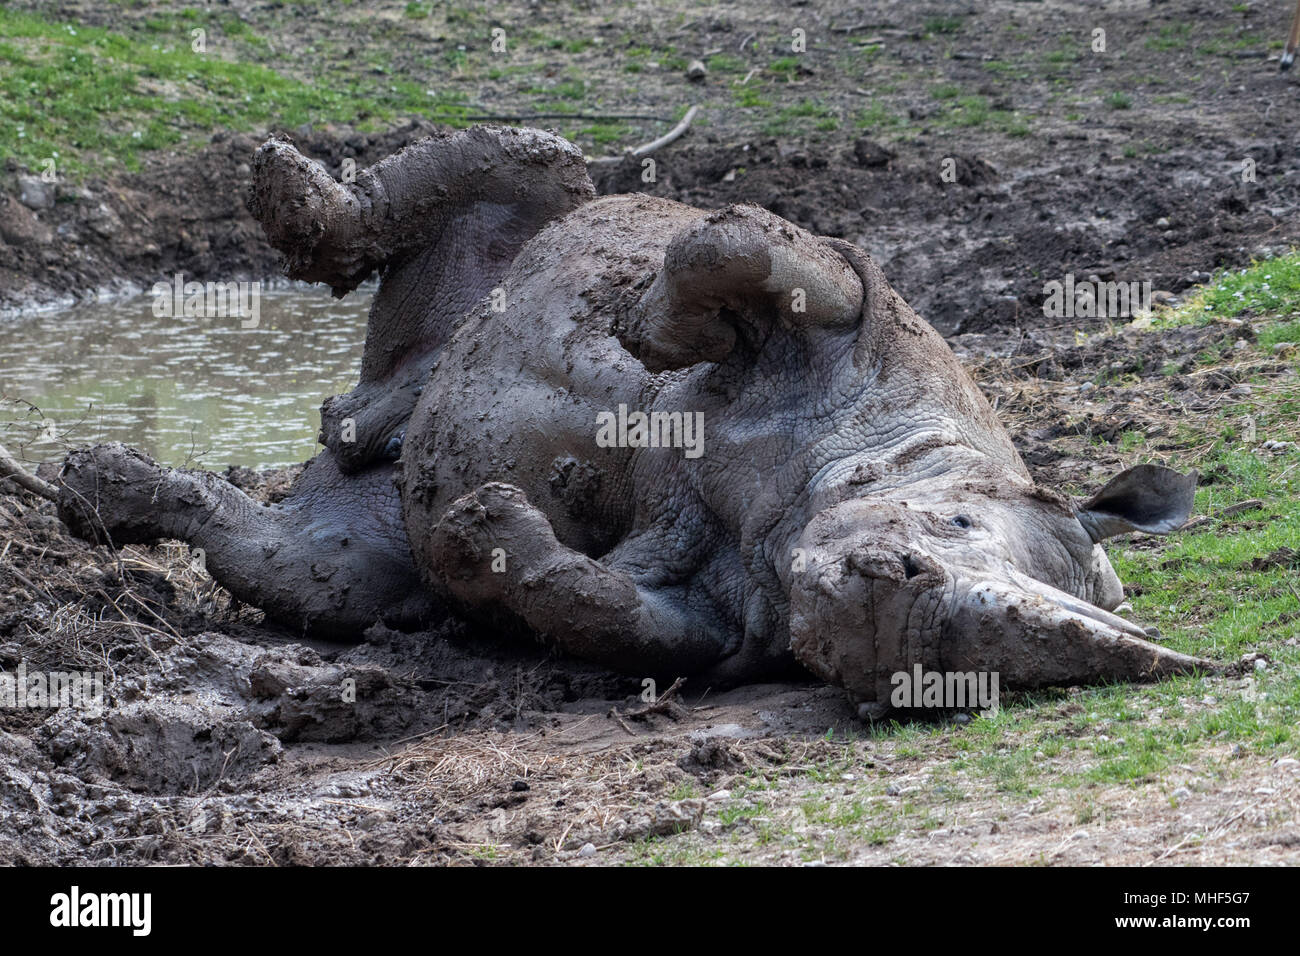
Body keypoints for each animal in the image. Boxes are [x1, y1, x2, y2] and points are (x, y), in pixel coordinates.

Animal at [58, 126, 1213, 711]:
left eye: (922, 660)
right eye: (957, 527)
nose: (892, 601)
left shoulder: (720, 631)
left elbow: (599, 603)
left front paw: (491, 527)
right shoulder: (865, 318)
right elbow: (729, 247)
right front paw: (641, 328)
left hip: (357, 540)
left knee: (317, 565)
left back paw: (112, 485)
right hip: (535, 225)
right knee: (542, 172)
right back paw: (297, 214)